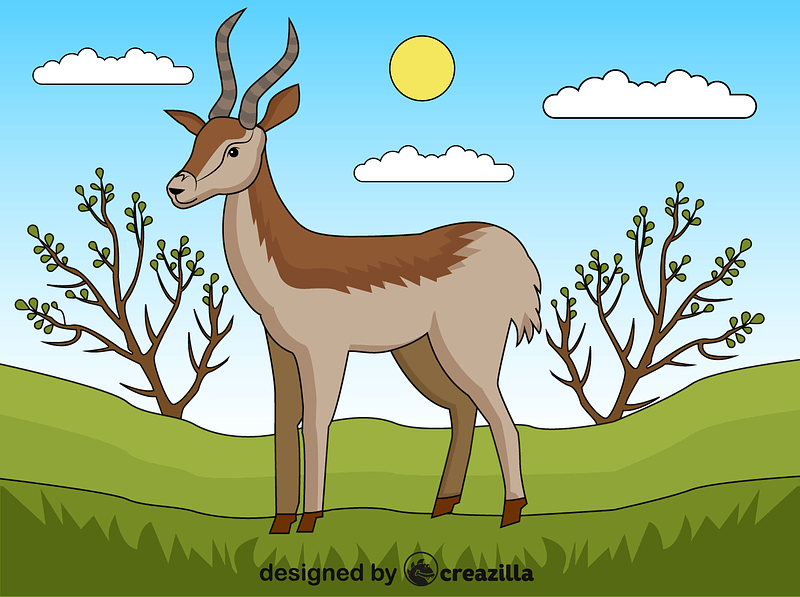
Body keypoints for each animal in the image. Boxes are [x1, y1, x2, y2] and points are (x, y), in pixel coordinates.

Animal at [165, 9, 542, 533]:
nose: (177, 188)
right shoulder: (280, 350)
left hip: (466, 348)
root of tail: (505, 249)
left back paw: (510, 514)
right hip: (419, 351)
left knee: (502, 416)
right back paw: (441, 508)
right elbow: (283, 423)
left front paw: (309, 522)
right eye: (198, 139)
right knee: (464, 409)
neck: (283, 264)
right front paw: (280, 524)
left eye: (234, 148)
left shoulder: (324, 352)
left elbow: (317, 422)